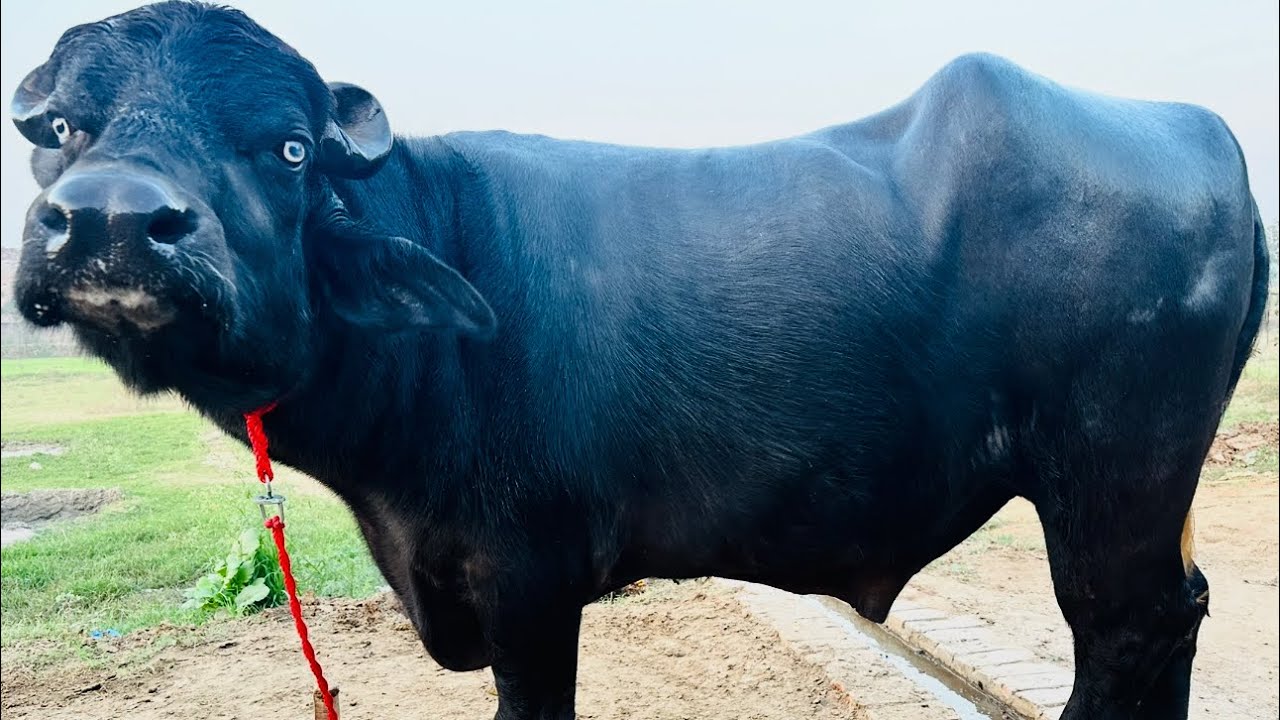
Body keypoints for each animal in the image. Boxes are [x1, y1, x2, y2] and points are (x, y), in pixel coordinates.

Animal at [10, 3, 1270, 719]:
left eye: (284, 146)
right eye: (63, 130)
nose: (113, 222)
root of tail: (1196, 129)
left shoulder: (526, 588)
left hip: (1108, 483)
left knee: (1121, 634)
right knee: (1174, 618)